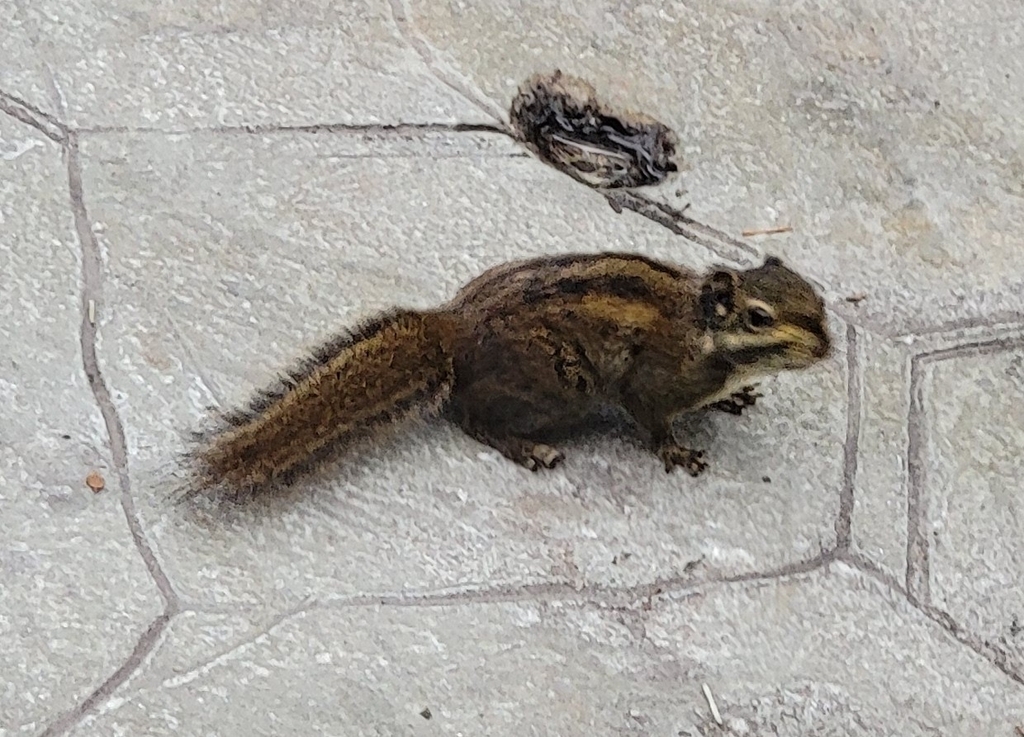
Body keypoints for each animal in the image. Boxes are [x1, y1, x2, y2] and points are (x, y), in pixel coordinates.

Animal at [187, 252, 831, 496]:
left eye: (817, 300)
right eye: (759, 317)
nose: (827, 349)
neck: (703, 331)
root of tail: (453, 330)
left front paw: (731, 400)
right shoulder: (654, 380)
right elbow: (650, 418)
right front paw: (675, 450)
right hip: (559, 387)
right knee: (471, 415)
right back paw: (527, 448)